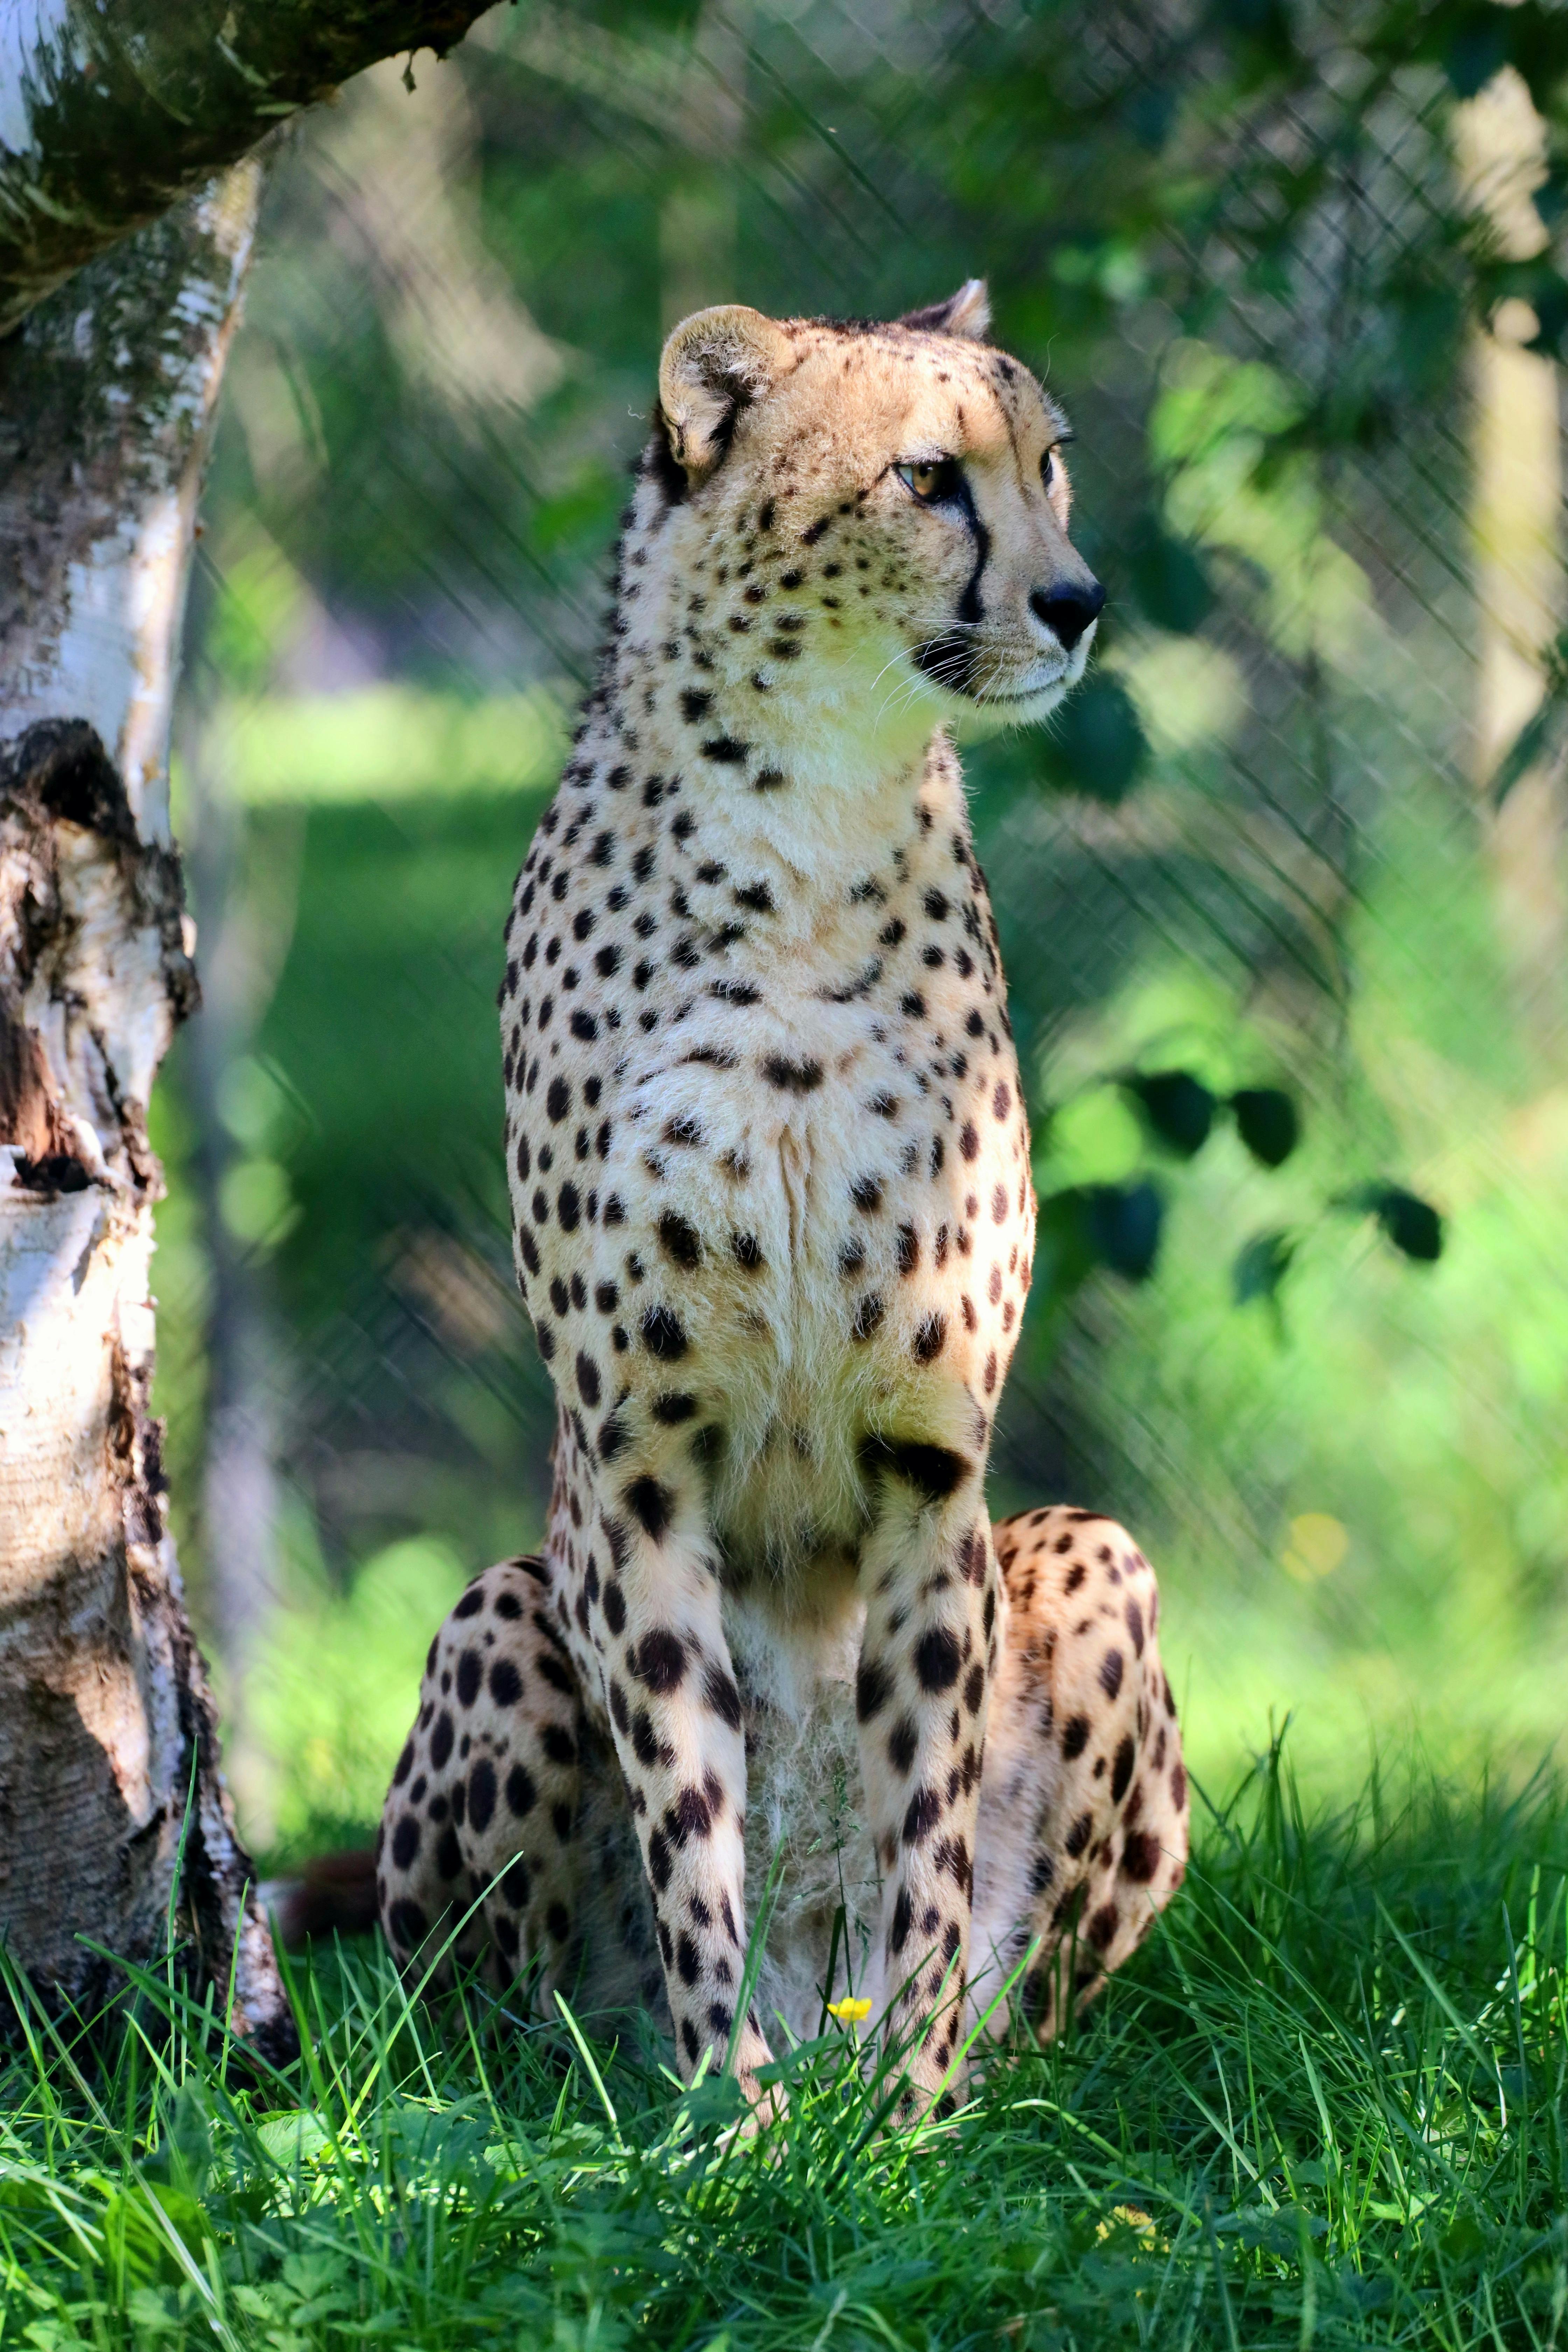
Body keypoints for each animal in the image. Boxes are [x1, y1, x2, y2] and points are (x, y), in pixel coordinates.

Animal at [378, 280, 1189, 2121]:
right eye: (929, 479)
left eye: (1048, 464)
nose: (1079, 601)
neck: (812, 826)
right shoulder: (637, 1469)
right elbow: (693, 1825)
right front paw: (729, 2129)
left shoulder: (933, 1460)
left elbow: (926, 1823)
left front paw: (907, 2129)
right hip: (497, 1619)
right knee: (496, 2032)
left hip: (1091, 1557)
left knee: (1029, 1986)